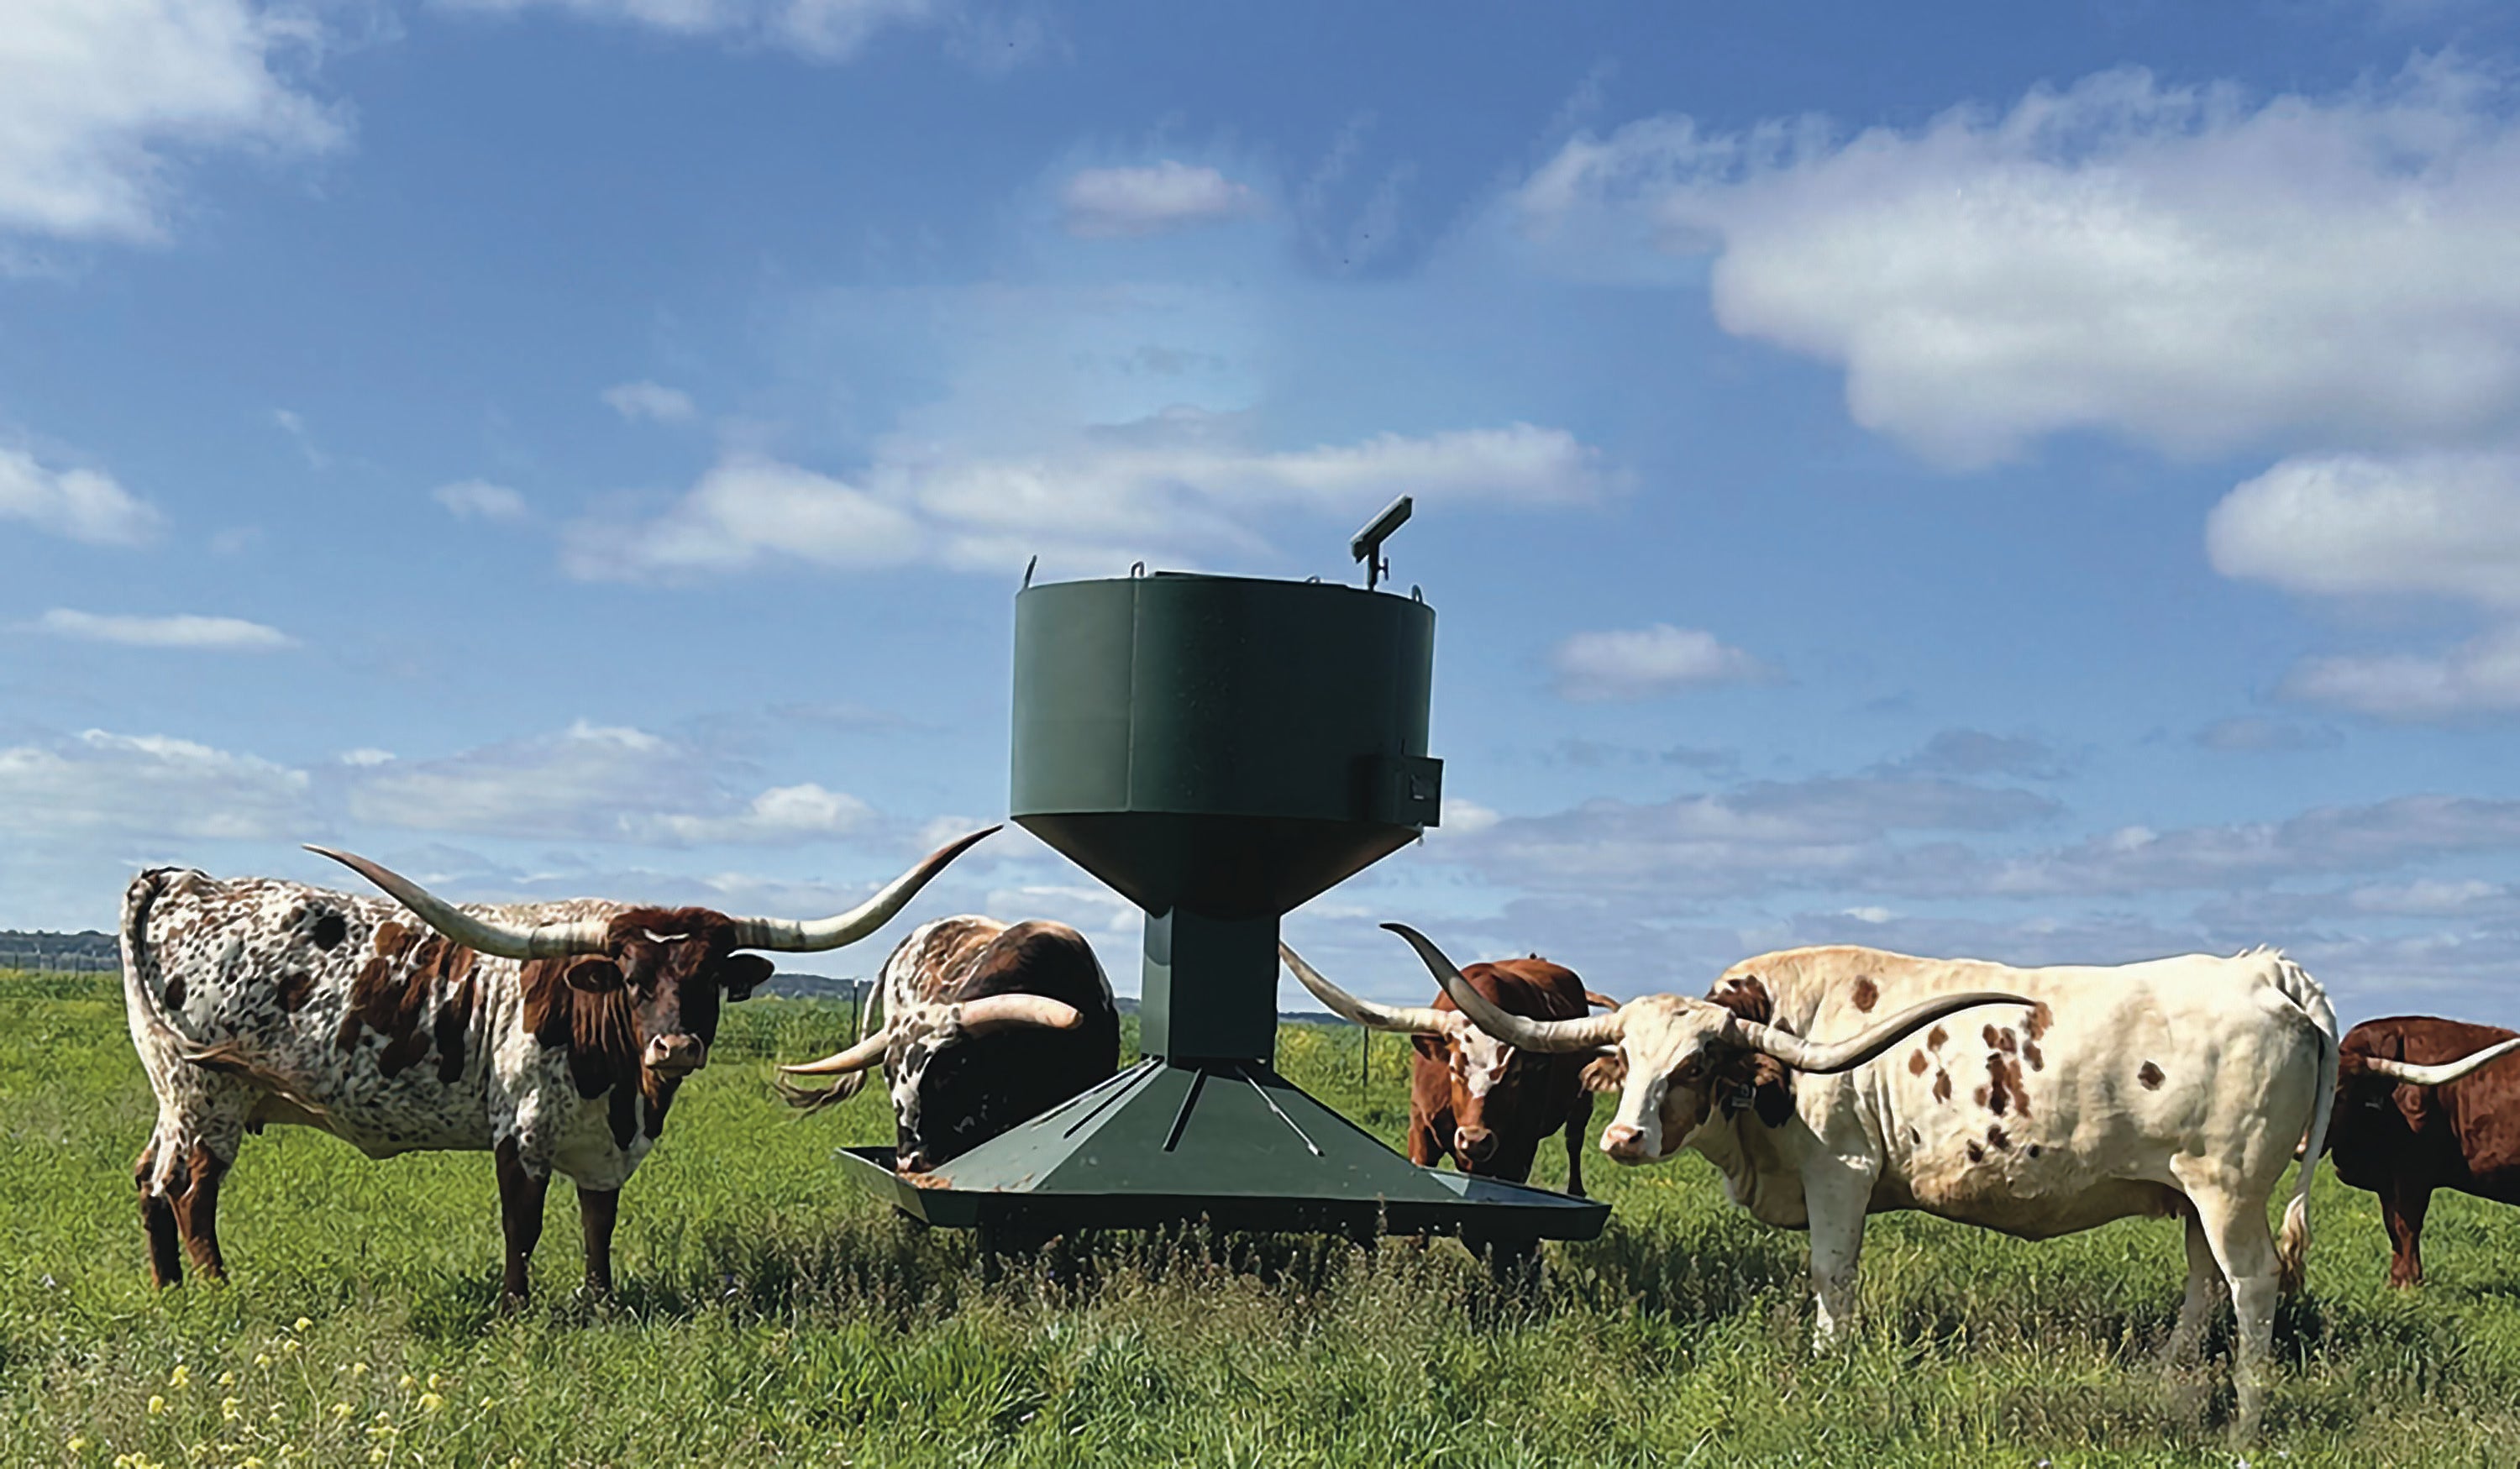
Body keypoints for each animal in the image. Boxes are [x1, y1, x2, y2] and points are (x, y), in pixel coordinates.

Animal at [119, 827, 995, 1304]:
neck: (626, 1085)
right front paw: (515, 1307)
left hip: (176, 1092)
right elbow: (524, 1225)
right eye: (633, 979)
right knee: (192, 1192)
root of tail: (182, 880)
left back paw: (169, 1291)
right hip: (211, 1093)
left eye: (709, 978)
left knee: (151, 1179)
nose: (676, 1046)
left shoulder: (606, 1148)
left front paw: (601, 1301)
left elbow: (597, 1225)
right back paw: (218, 1291)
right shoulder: (524, 1131)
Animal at [1277, 942, 1615, 1196]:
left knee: (1574, 1139)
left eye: (1515, 1075)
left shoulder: (1520, 1149)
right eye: (1453, 1068)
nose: (1475, 1140)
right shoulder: (1420, 1131)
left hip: (1583, 1099)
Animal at [1387, 925, 2376, 1437]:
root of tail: (2264, 973)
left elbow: (1832, 1275)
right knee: (2204, 1285)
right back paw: (2168, 1375)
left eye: (1698, 1065)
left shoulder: (1842, 1174)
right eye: (1626, 1061)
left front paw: (1829, 1363)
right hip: (2193, 1197)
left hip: (2230, 1190)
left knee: (2253, 1287)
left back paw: (2246, 1414)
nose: (1625, 1137)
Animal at [2323, 1015, 2520, 1289]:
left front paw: (2409, 1283)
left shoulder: (2413, 1174)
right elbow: (2392, 1225)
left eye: (2340, 1093)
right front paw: (2395, 1282)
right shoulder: (2386, 1182)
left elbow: (2407, 1225)